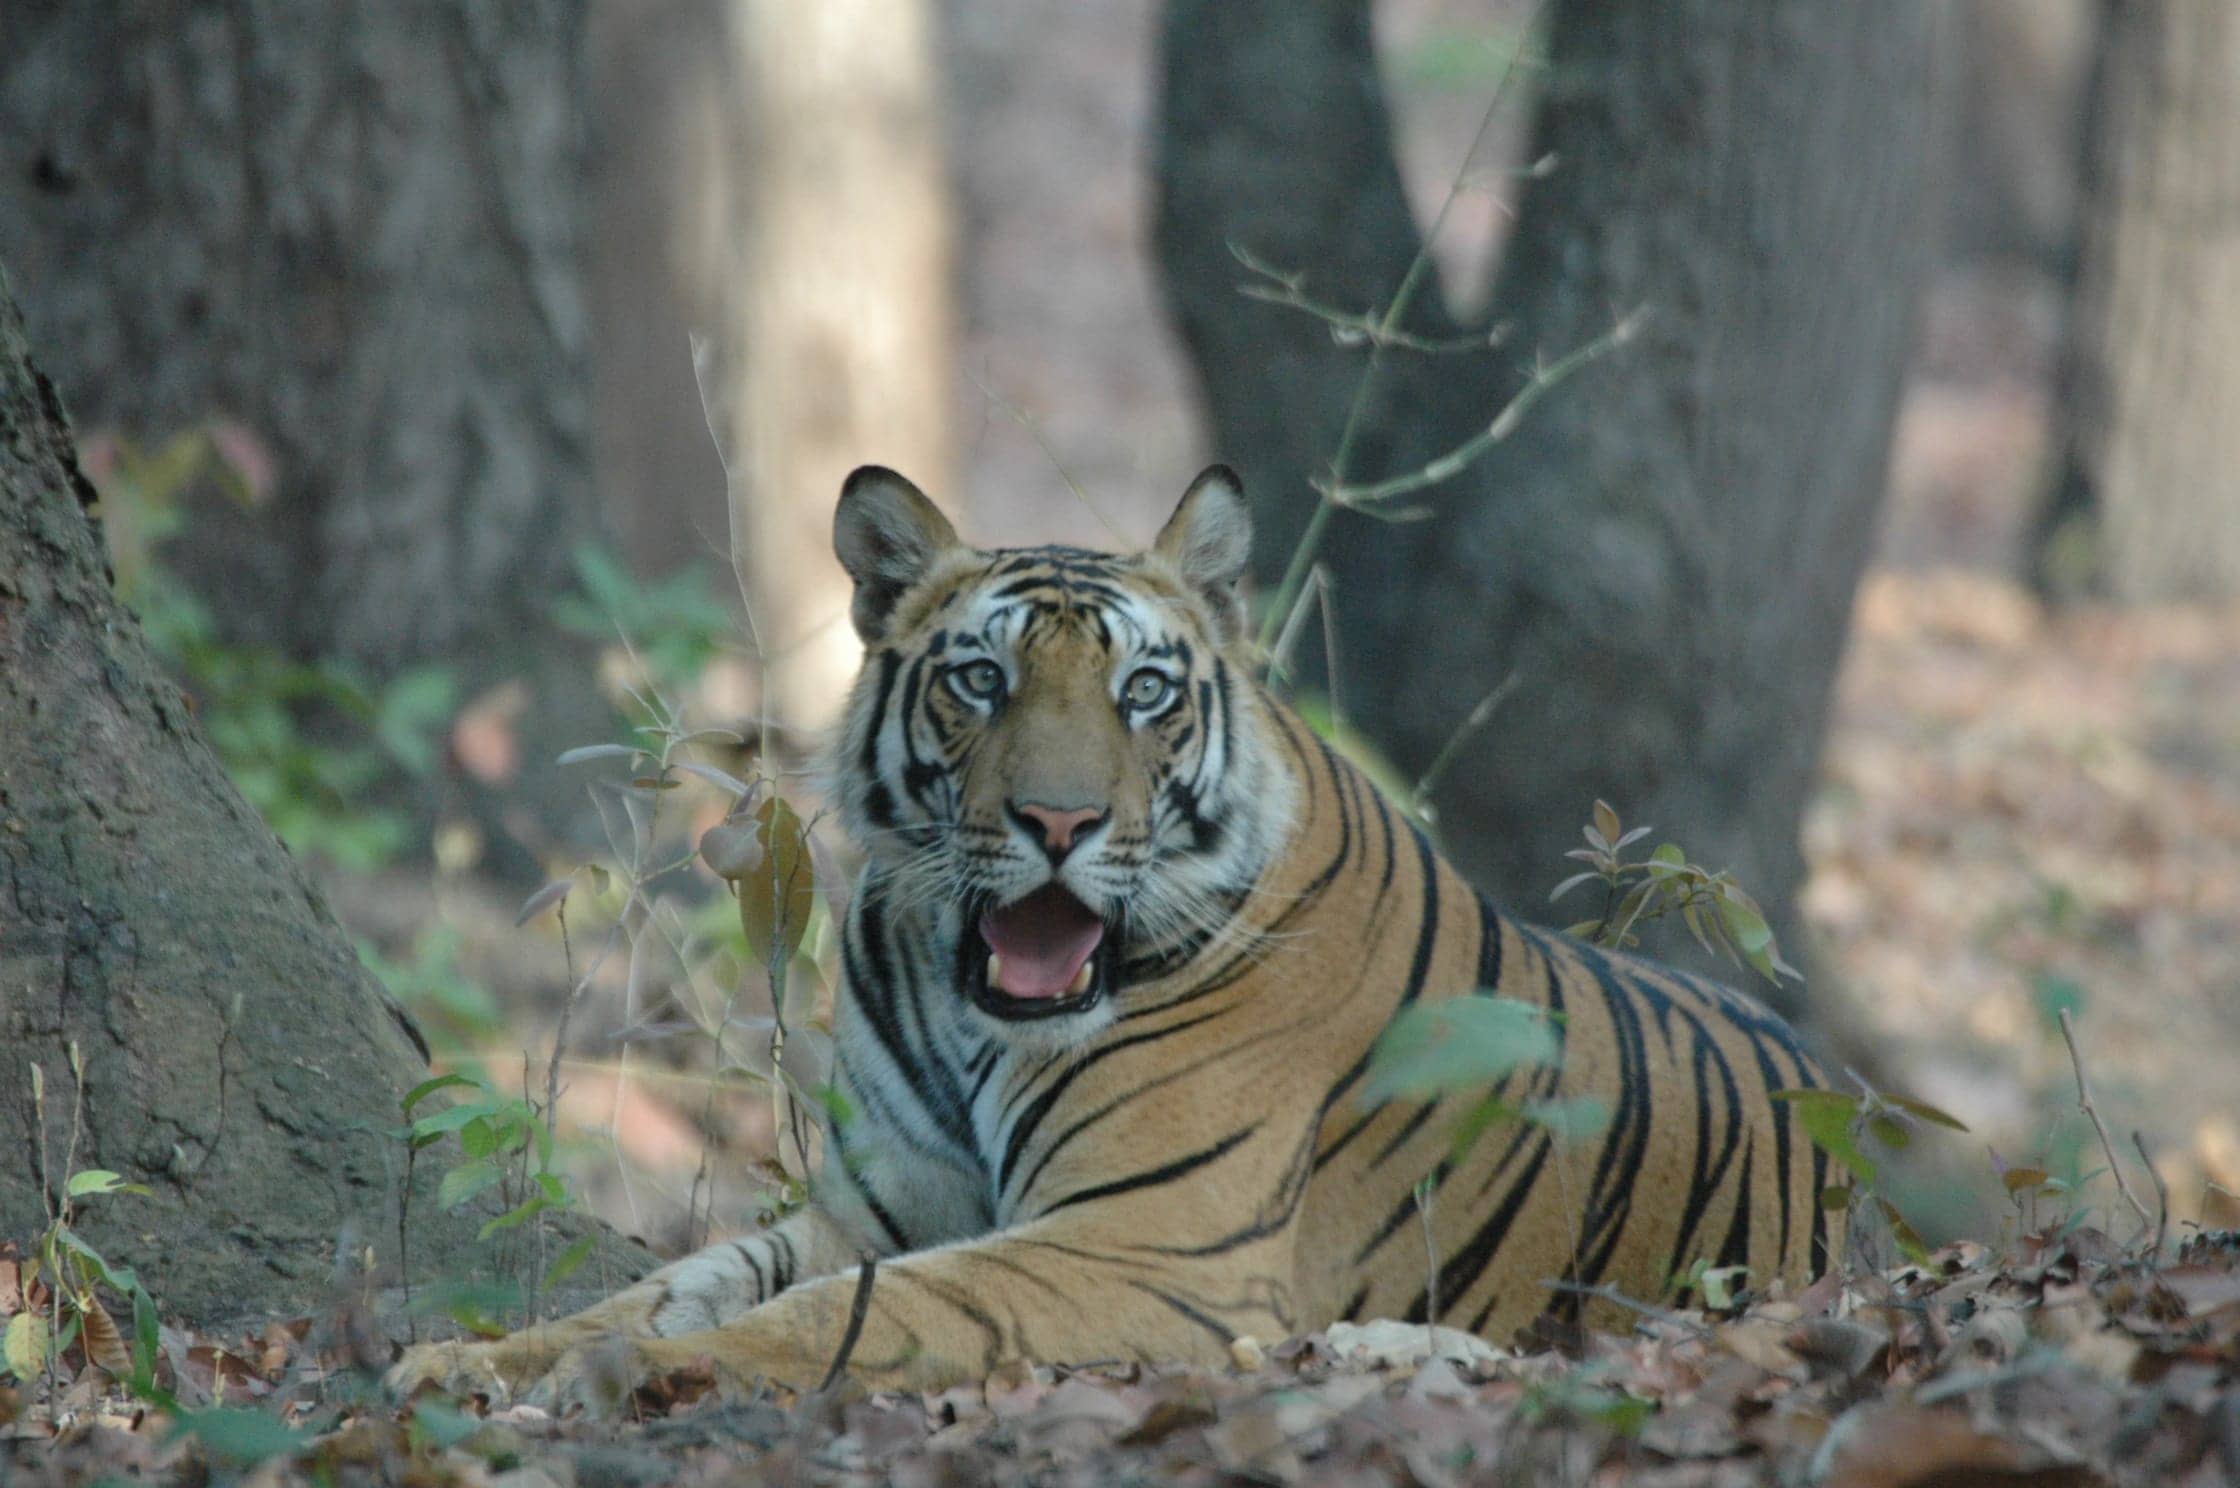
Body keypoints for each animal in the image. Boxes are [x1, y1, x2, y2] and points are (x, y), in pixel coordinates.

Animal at [389, 464, 1840, 1412]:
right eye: (981, 679)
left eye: (1144, 692)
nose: (1058, 820)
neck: (966, 1007)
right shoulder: (875, 1204)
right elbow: (677, 1283)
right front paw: (473, 1362)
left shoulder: (1147, 1245)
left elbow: (856, 1312)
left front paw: (635, 1378)